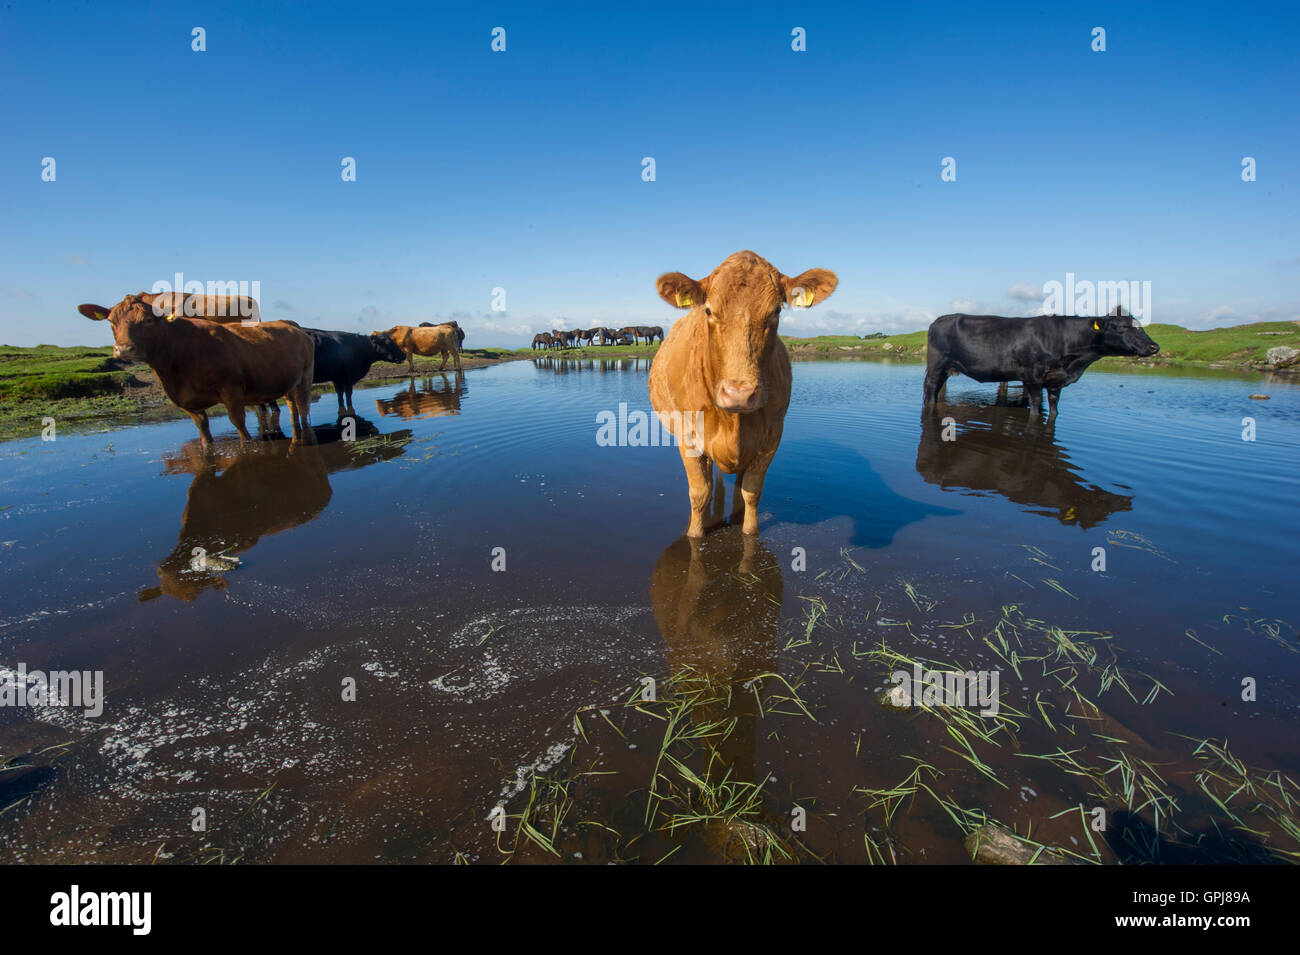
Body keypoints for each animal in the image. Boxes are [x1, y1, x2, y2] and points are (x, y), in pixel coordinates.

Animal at [79, 294, 314, 444]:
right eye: (111, 321)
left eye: (147, 320)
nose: (124, 349)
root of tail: (291, 325)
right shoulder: (187, 404)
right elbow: (203, 433)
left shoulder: (231, 388)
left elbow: (239, 426)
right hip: (287, 382)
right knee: (292, 406)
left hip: (305, 376)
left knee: (303, 409)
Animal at [648, 250, 837, 537]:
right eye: (708, 310)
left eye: (776, 310)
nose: (739, 393)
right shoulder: (688, 435)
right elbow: (699, 494)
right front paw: (695, 533)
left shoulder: (772, 436)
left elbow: (752, 491)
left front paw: (749, 530)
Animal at [923, 311, 1159, 417]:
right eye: (1123, 327)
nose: (1154, 346)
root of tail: (938, 320)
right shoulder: (1032, 377)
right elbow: (1036, 407)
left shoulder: (1056, 382)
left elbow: (1054, 408)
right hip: (936, 366)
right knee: (930, 390)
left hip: (946, 369)